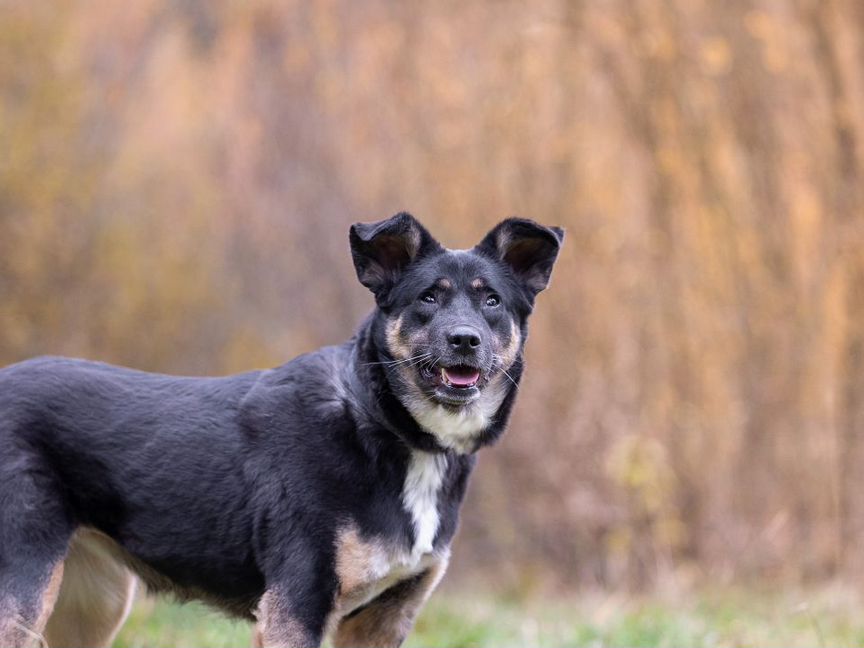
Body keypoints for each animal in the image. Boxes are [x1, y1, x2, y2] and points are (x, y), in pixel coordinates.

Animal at [0, 214, 564, 648]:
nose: (465, 340)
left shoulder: (384, 617)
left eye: (492, 302)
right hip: (26, 585)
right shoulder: (297, 602)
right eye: (428, 298)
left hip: (92, 604)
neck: (377, 423)